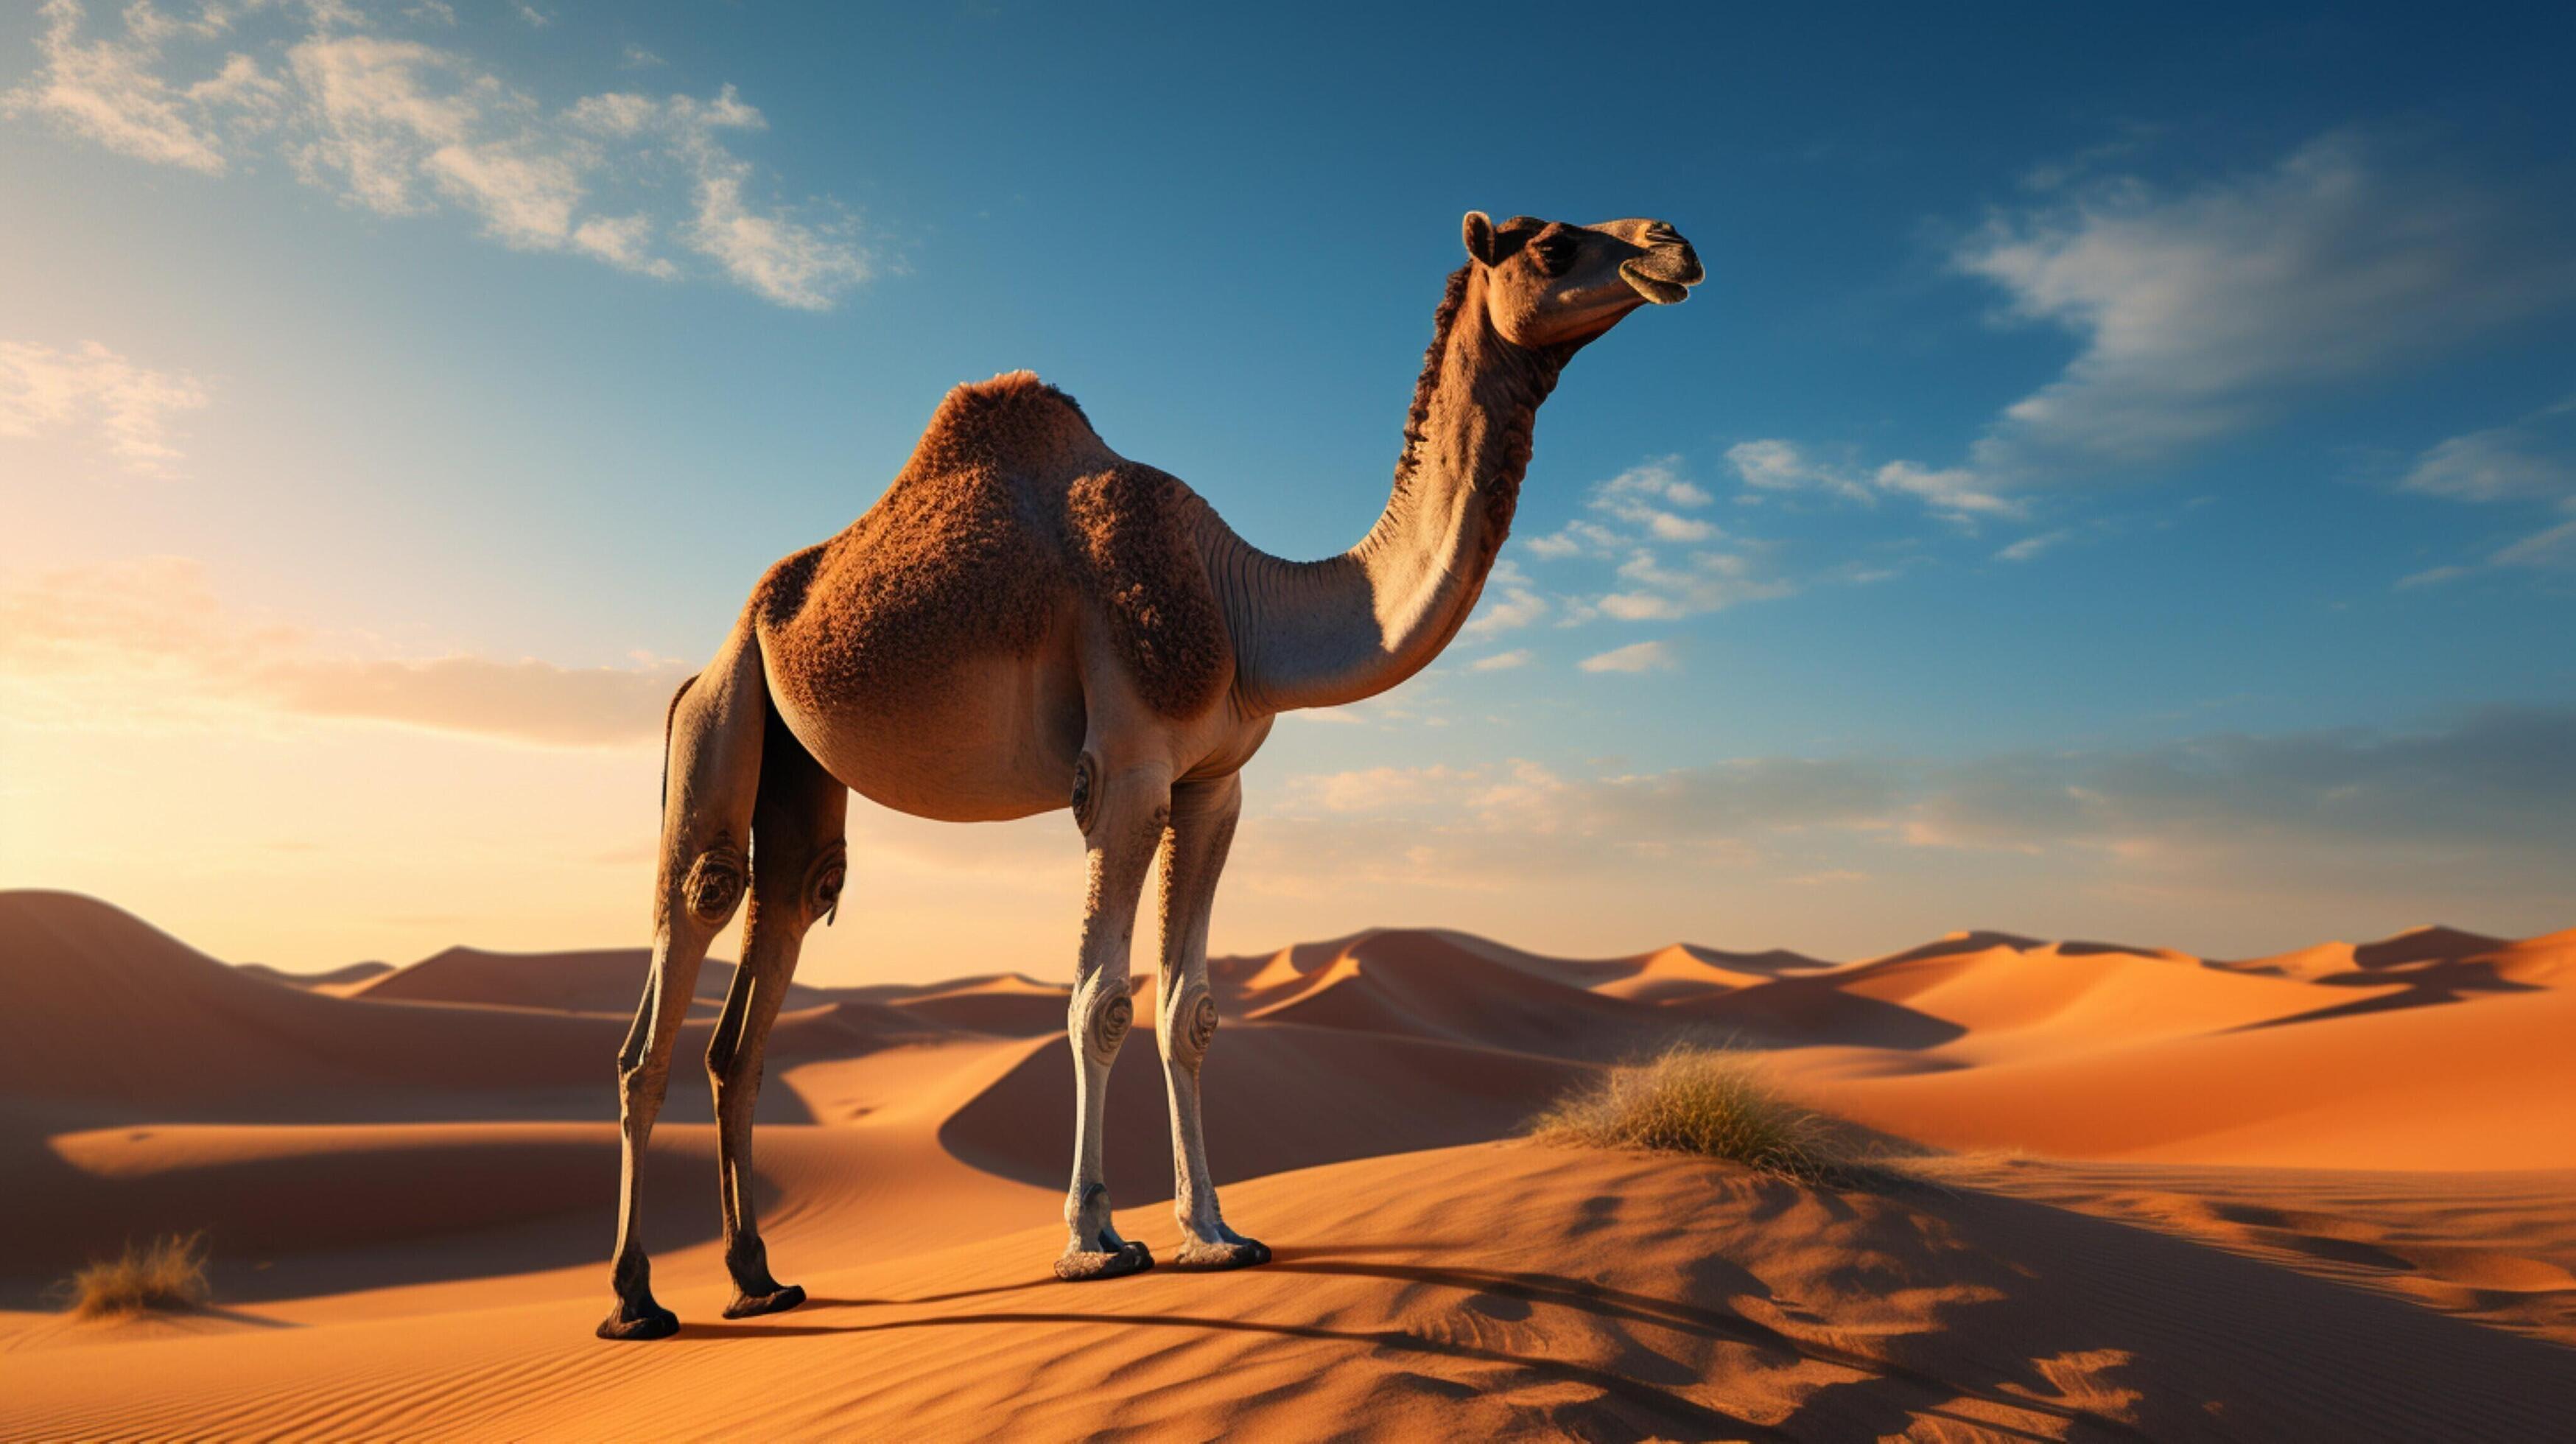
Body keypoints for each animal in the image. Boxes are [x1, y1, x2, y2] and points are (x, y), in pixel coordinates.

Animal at [599, 211, 1703, 1340]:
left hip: (795, 764)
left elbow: (1191, 1011)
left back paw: (757, 1279)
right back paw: (637, 1298)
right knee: (687, 934)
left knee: (775, 945)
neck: (1244, 607)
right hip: (722, 717)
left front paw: (1214, 1234)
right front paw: (1094, 1243)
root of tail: (715, 651)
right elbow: (1099, 1003)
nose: (1671, 245)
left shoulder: (1213, 784)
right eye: (1555, 246)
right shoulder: (1124, 770)